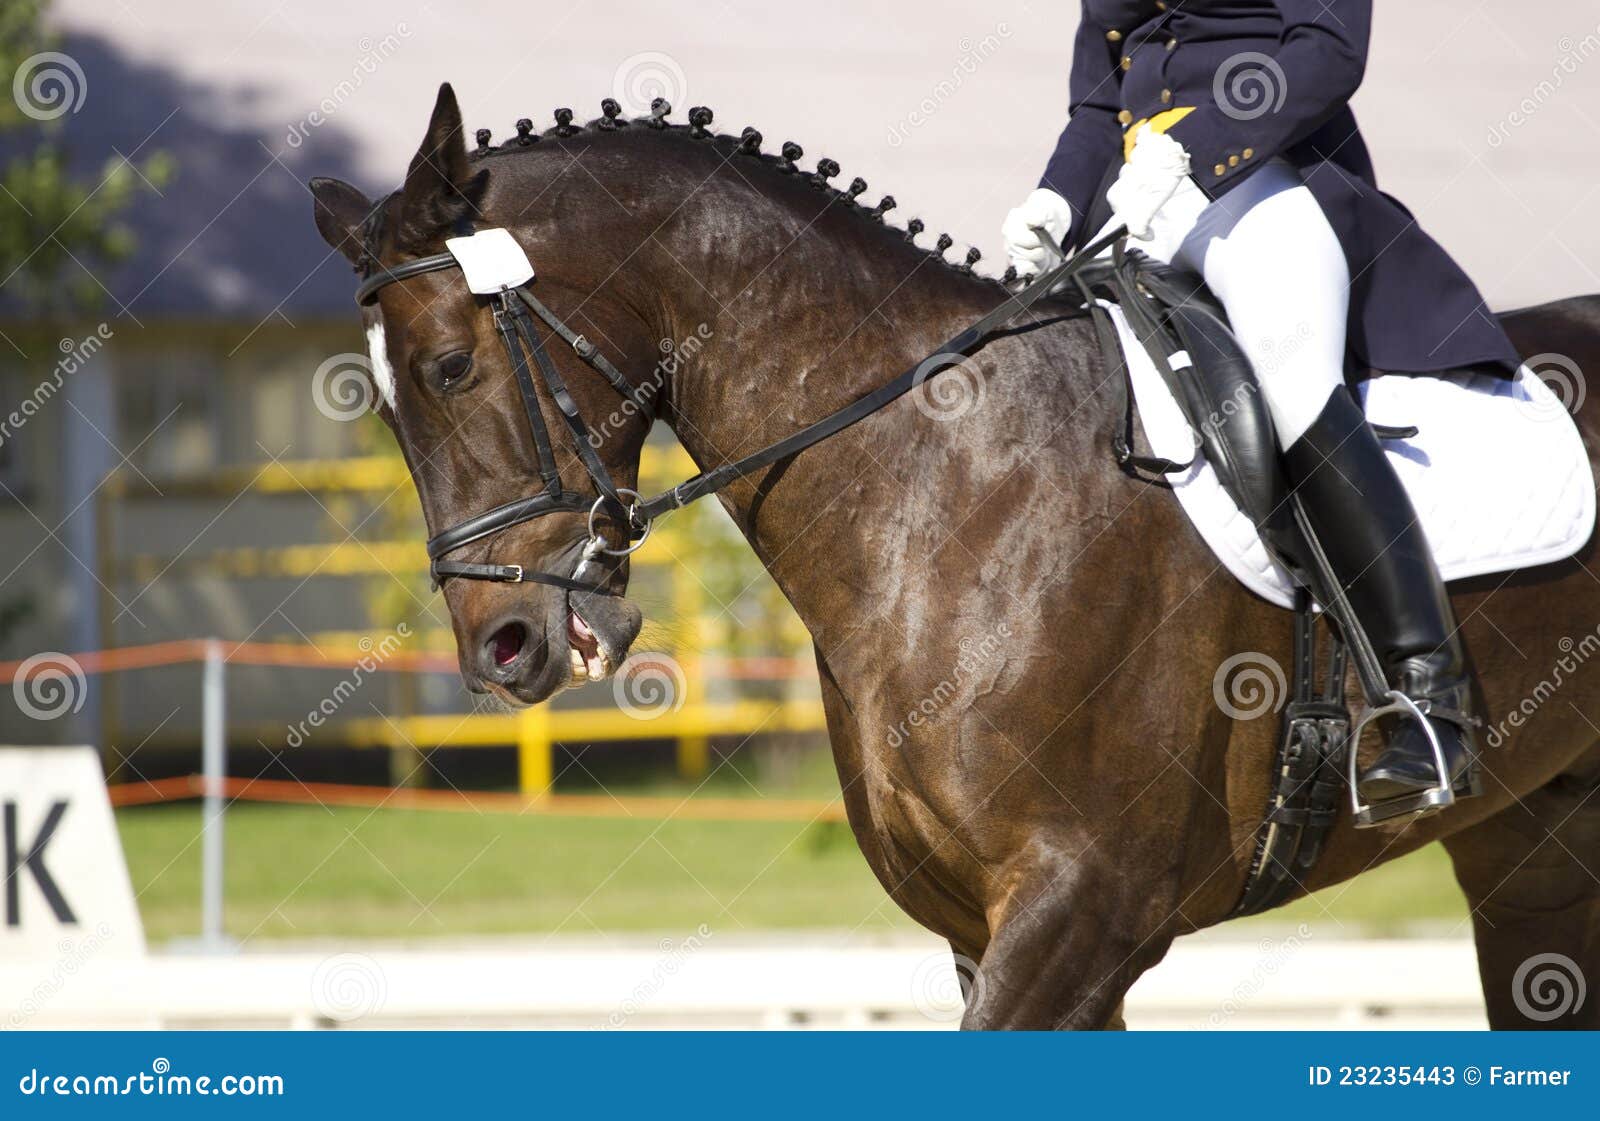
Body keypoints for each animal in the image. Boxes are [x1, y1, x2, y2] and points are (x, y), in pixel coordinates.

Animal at [310, 85, 1600, 1029]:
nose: (502, 645)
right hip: (1536, 843)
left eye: (449, 367)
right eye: (378, 403)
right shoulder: (986, 932)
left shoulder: (1082, 914)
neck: (943, 485)